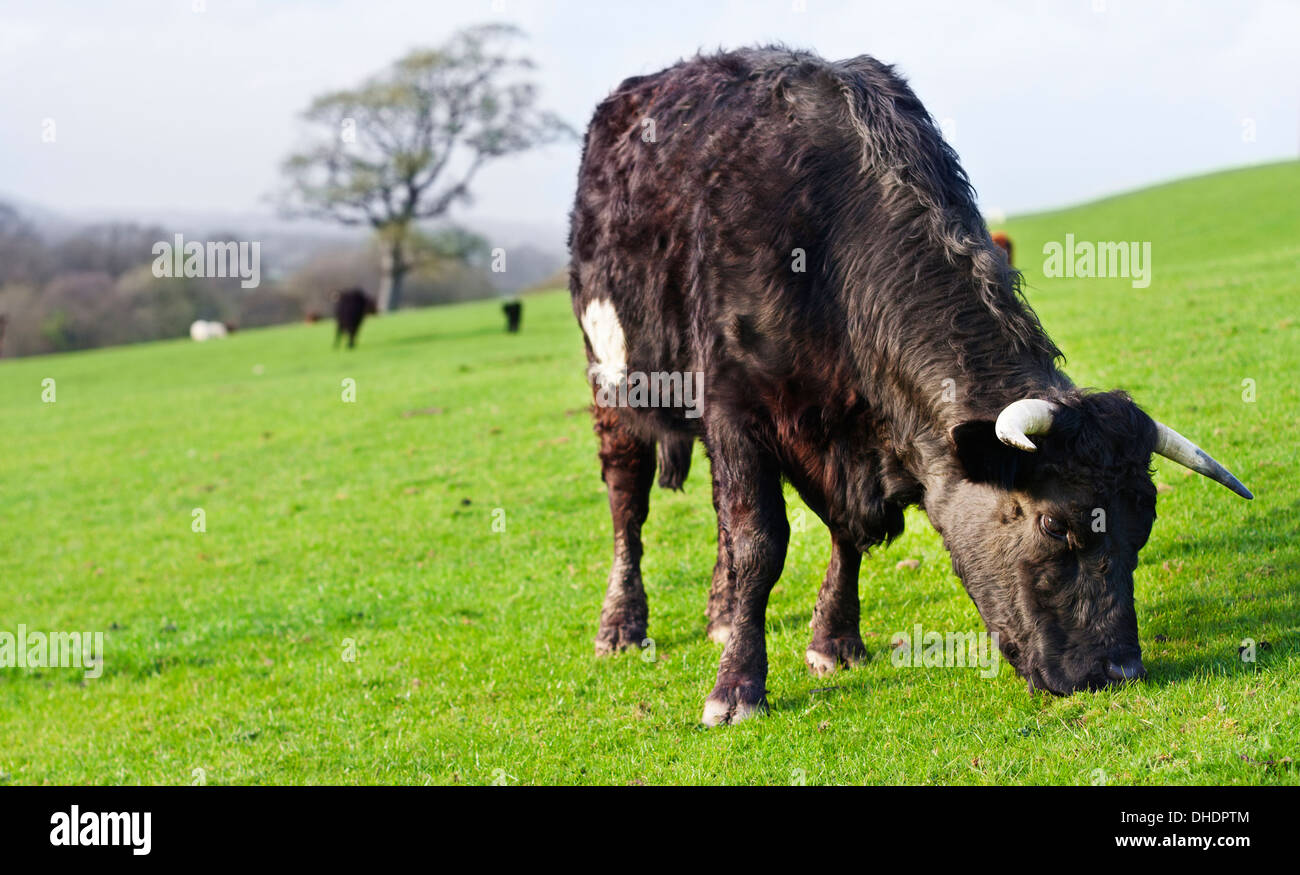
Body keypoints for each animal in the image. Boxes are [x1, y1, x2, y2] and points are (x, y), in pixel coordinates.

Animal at [568, 48, 1252, 726]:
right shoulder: (734, 410)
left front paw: (833, 639)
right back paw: (621, 624)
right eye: (1055, 526)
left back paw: (718, 611)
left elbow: (841, 536)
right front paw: (737, 687)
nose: (1117, 672)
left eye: (1145, 524)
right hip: (612, 382)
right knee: (628, 501)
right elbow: (759, 542)